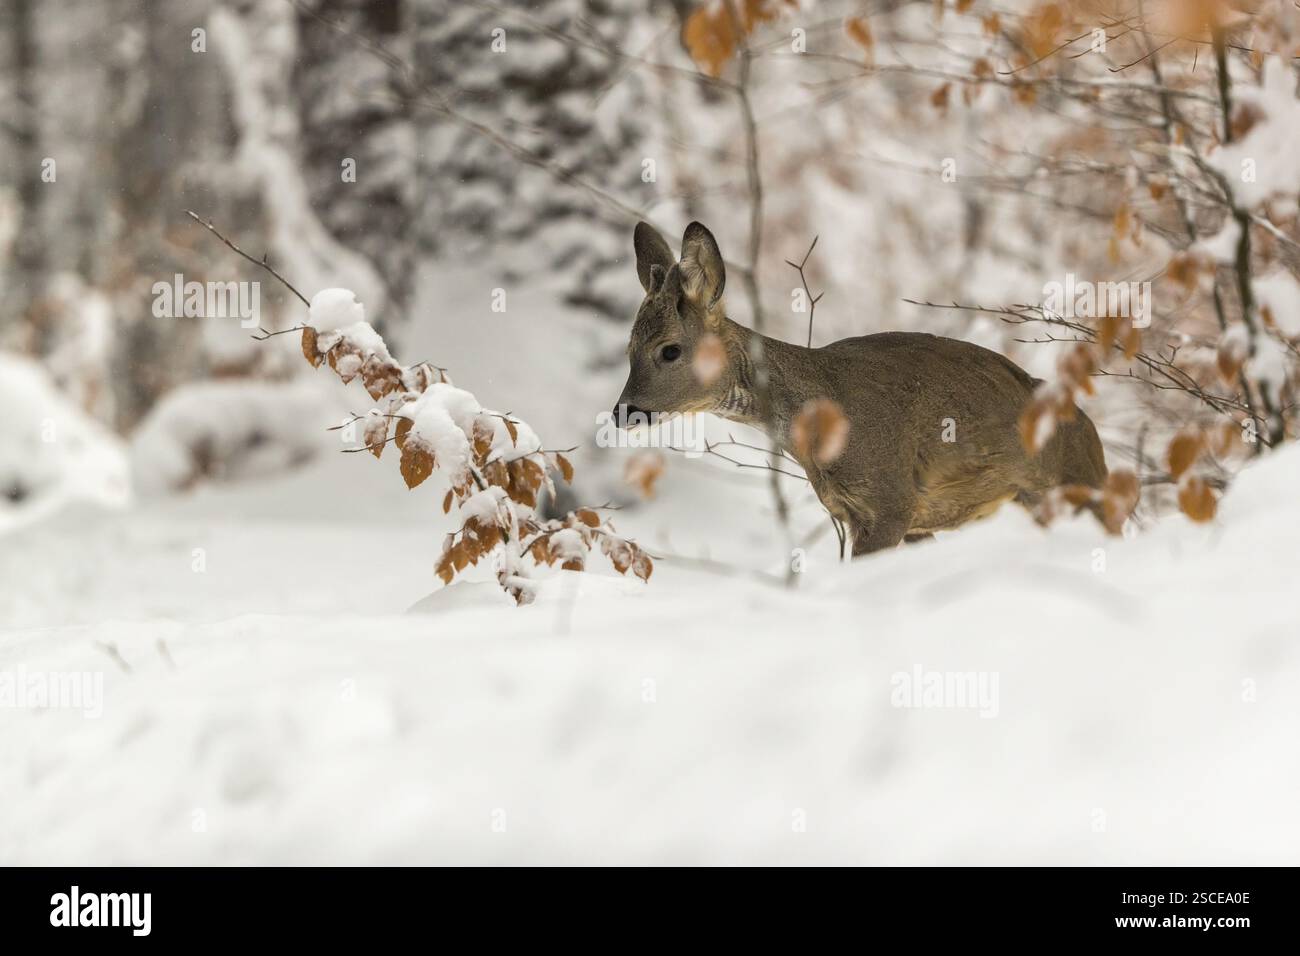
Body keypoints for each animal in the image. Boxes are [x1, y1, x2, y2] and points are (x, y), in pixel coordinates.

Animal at [612, 221, 1107, 556]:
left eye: (669, 350)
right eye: (629, 347)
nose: (624, 412)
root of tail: (1092, 433)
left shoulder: (892, 500)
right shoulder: (886, 517)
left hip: (1080, 482)